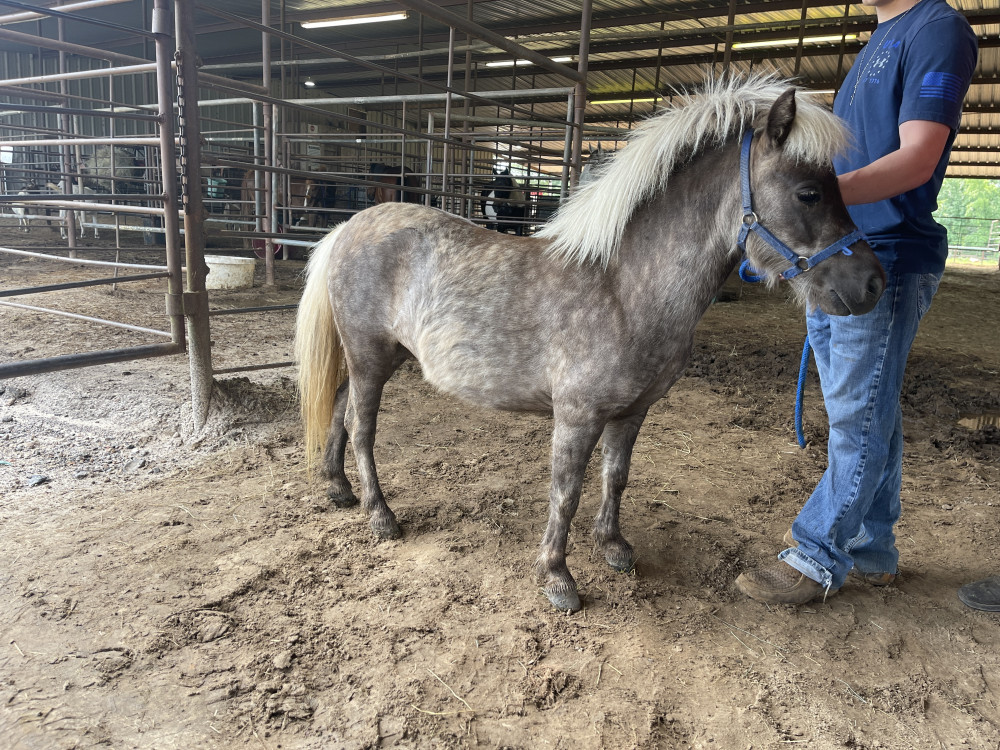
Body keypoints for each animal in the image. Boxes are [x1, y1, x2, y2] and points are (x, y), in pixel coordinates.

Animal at [294, 76, 886, 613]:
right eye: (808, 193)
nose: (873, 284)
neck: (625, 288)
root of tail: (349, 226)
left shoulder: (633, 411)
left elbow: (615, 477)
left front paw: (613, 547)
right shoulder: (577, 416)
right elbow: (567, 491)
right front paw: (557, 578)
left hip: (379, 357)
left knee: (341, 407)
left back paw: (338, 489)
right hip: (370, 355)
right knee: (362, 427)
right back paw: (380, 515)